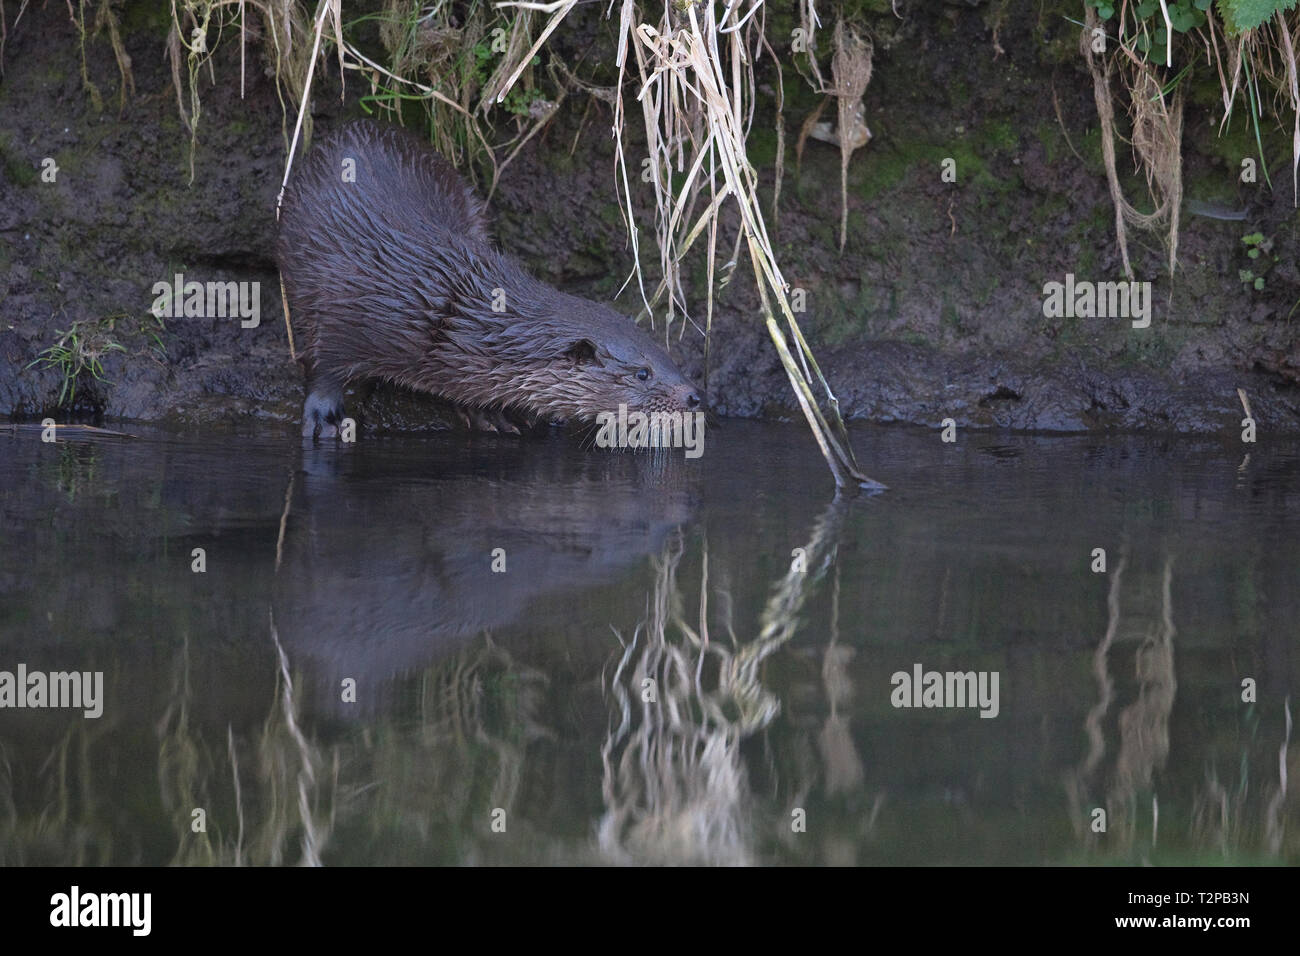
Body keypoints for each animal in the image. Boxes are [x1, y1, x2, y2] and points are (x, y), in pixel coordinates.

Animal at [276, 120, 702, 438]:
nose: (694, 397)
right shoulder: (344, 306)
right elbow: (322, 361)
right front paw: (323, 415)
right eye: (642, 373)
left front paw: (491, 413)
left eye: (666, 354)